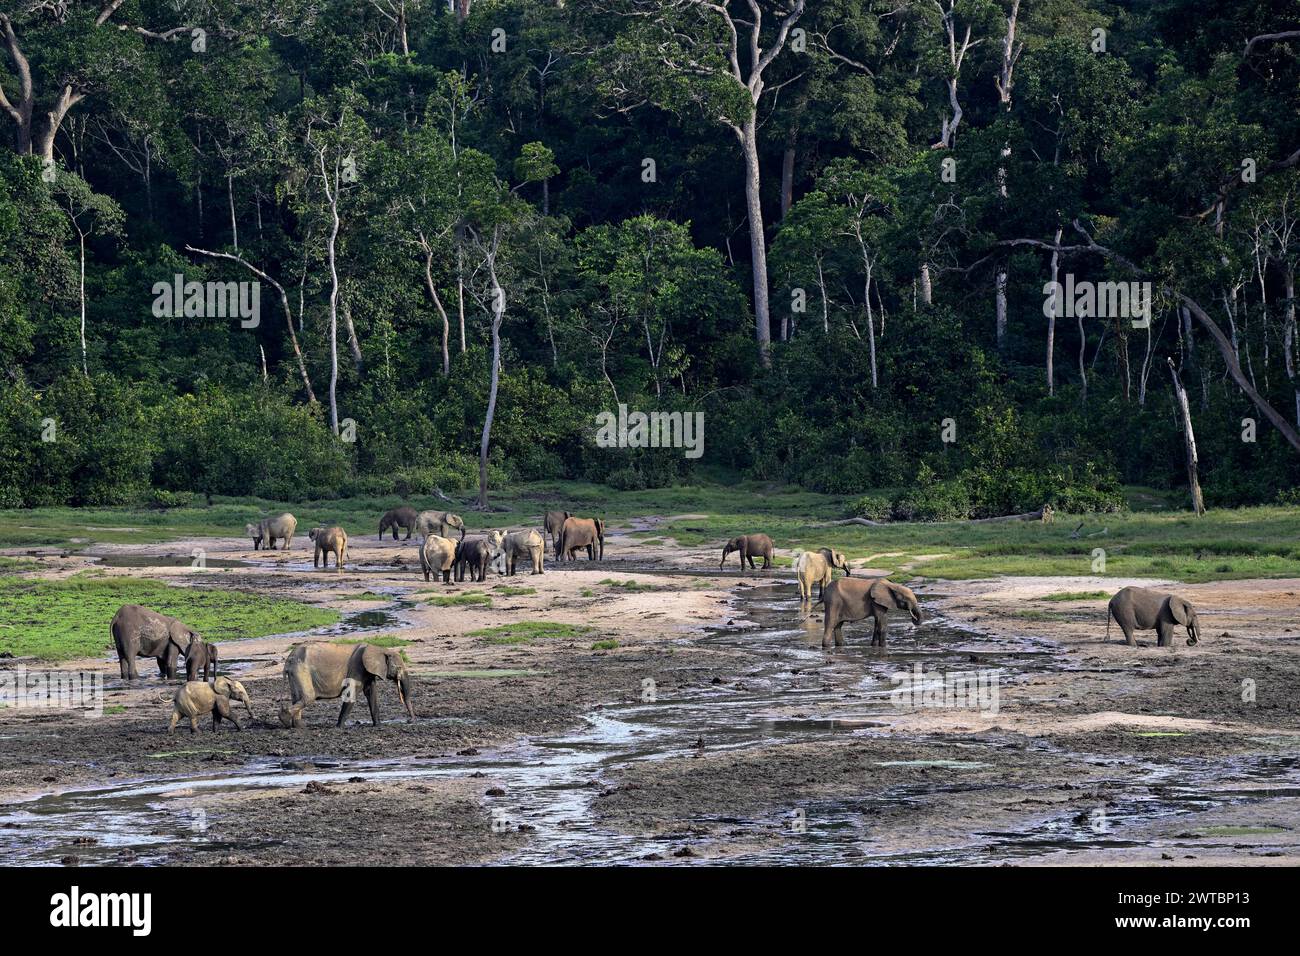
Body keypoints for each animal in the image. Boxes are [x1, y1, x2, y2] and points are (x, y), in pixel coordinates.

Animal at [279, 642, 415, 728]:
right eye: (399, 667)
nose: (410, 720)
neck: (381, 649)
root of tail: (288, 659)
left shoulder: (367, 672)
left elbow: (371, 694)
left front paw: (378, 725)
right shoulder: (357, 668)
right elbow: (351, 694)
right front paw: (339, 727)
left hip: (295, 672)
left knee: (298, 697)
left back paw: (299, 727)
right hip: (301, 669)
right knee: (308, 697)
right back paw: (285, 720)